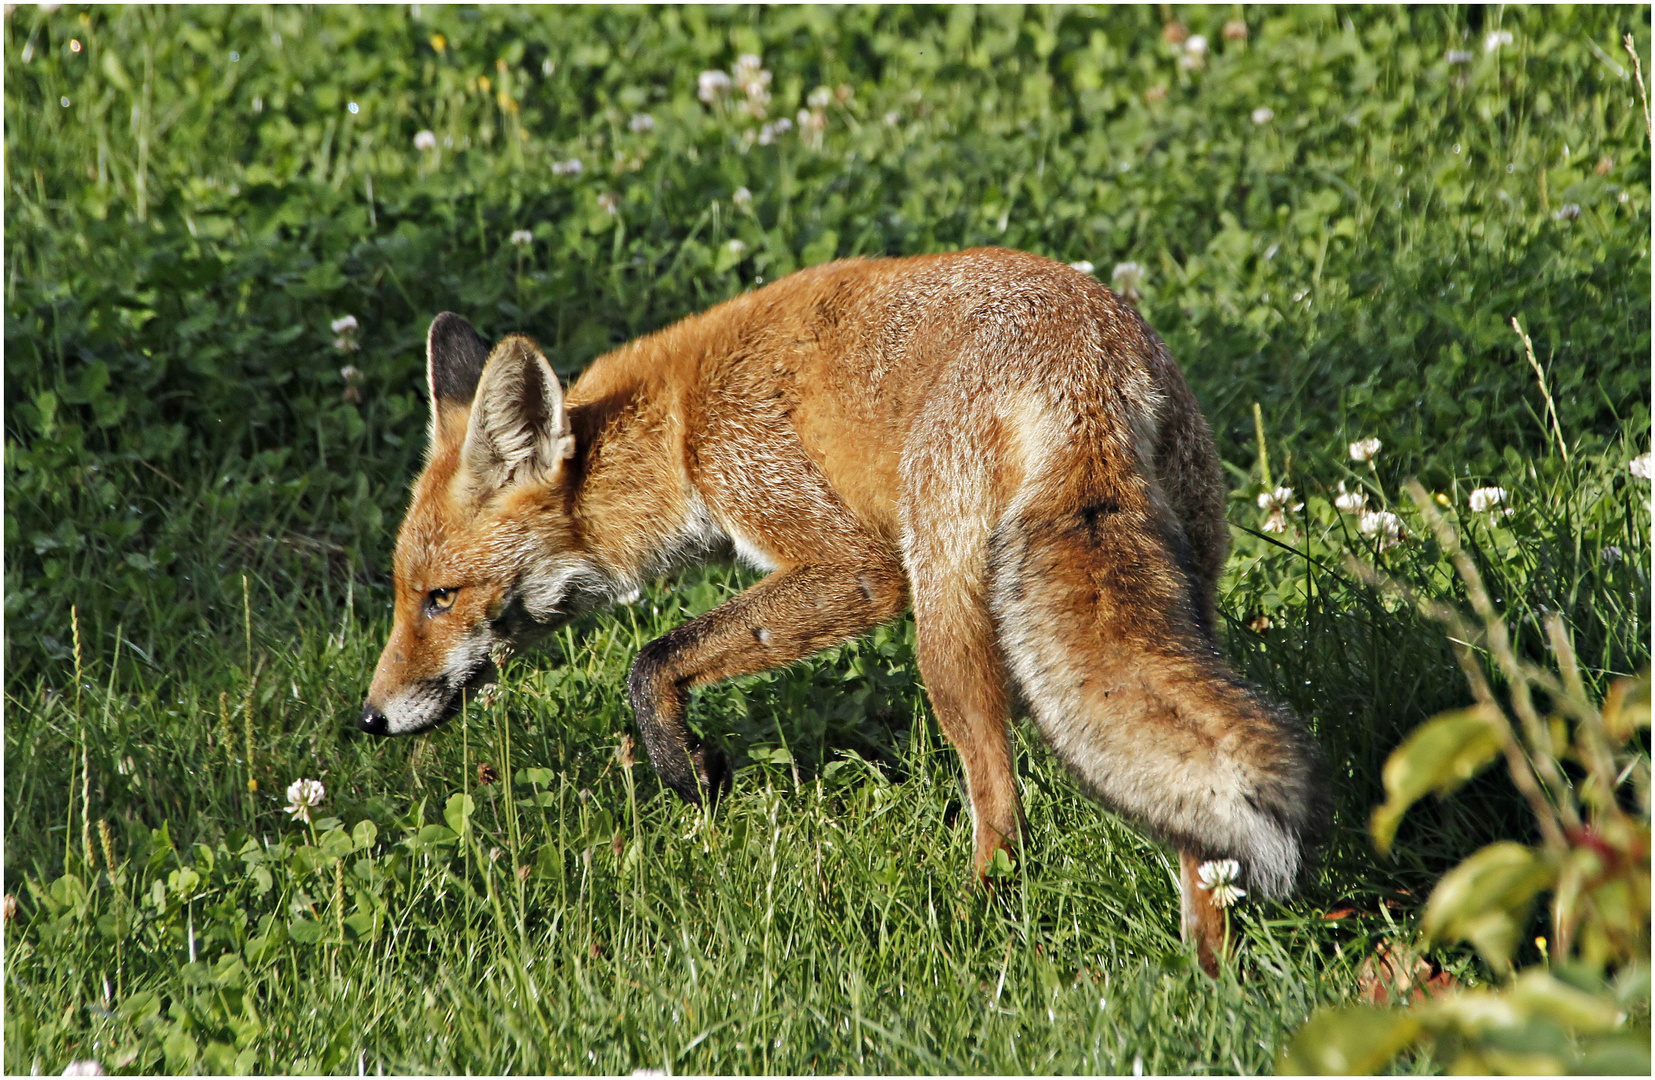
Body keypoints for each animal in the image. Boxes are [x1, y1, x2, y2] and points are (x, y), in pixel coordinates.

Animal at [360, 246, 1328, 973]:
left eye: (440, 599)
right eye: (404, 597)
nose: (369, 717)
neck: (679, 428)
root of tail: (1085, 372)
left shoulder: (853, 564)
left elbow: (654, 658)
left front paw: (686, 768)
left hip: (941, 626)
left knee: (1000, 803)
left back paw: (974, 919)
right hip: (1177, 601)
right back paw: (1207, 971)